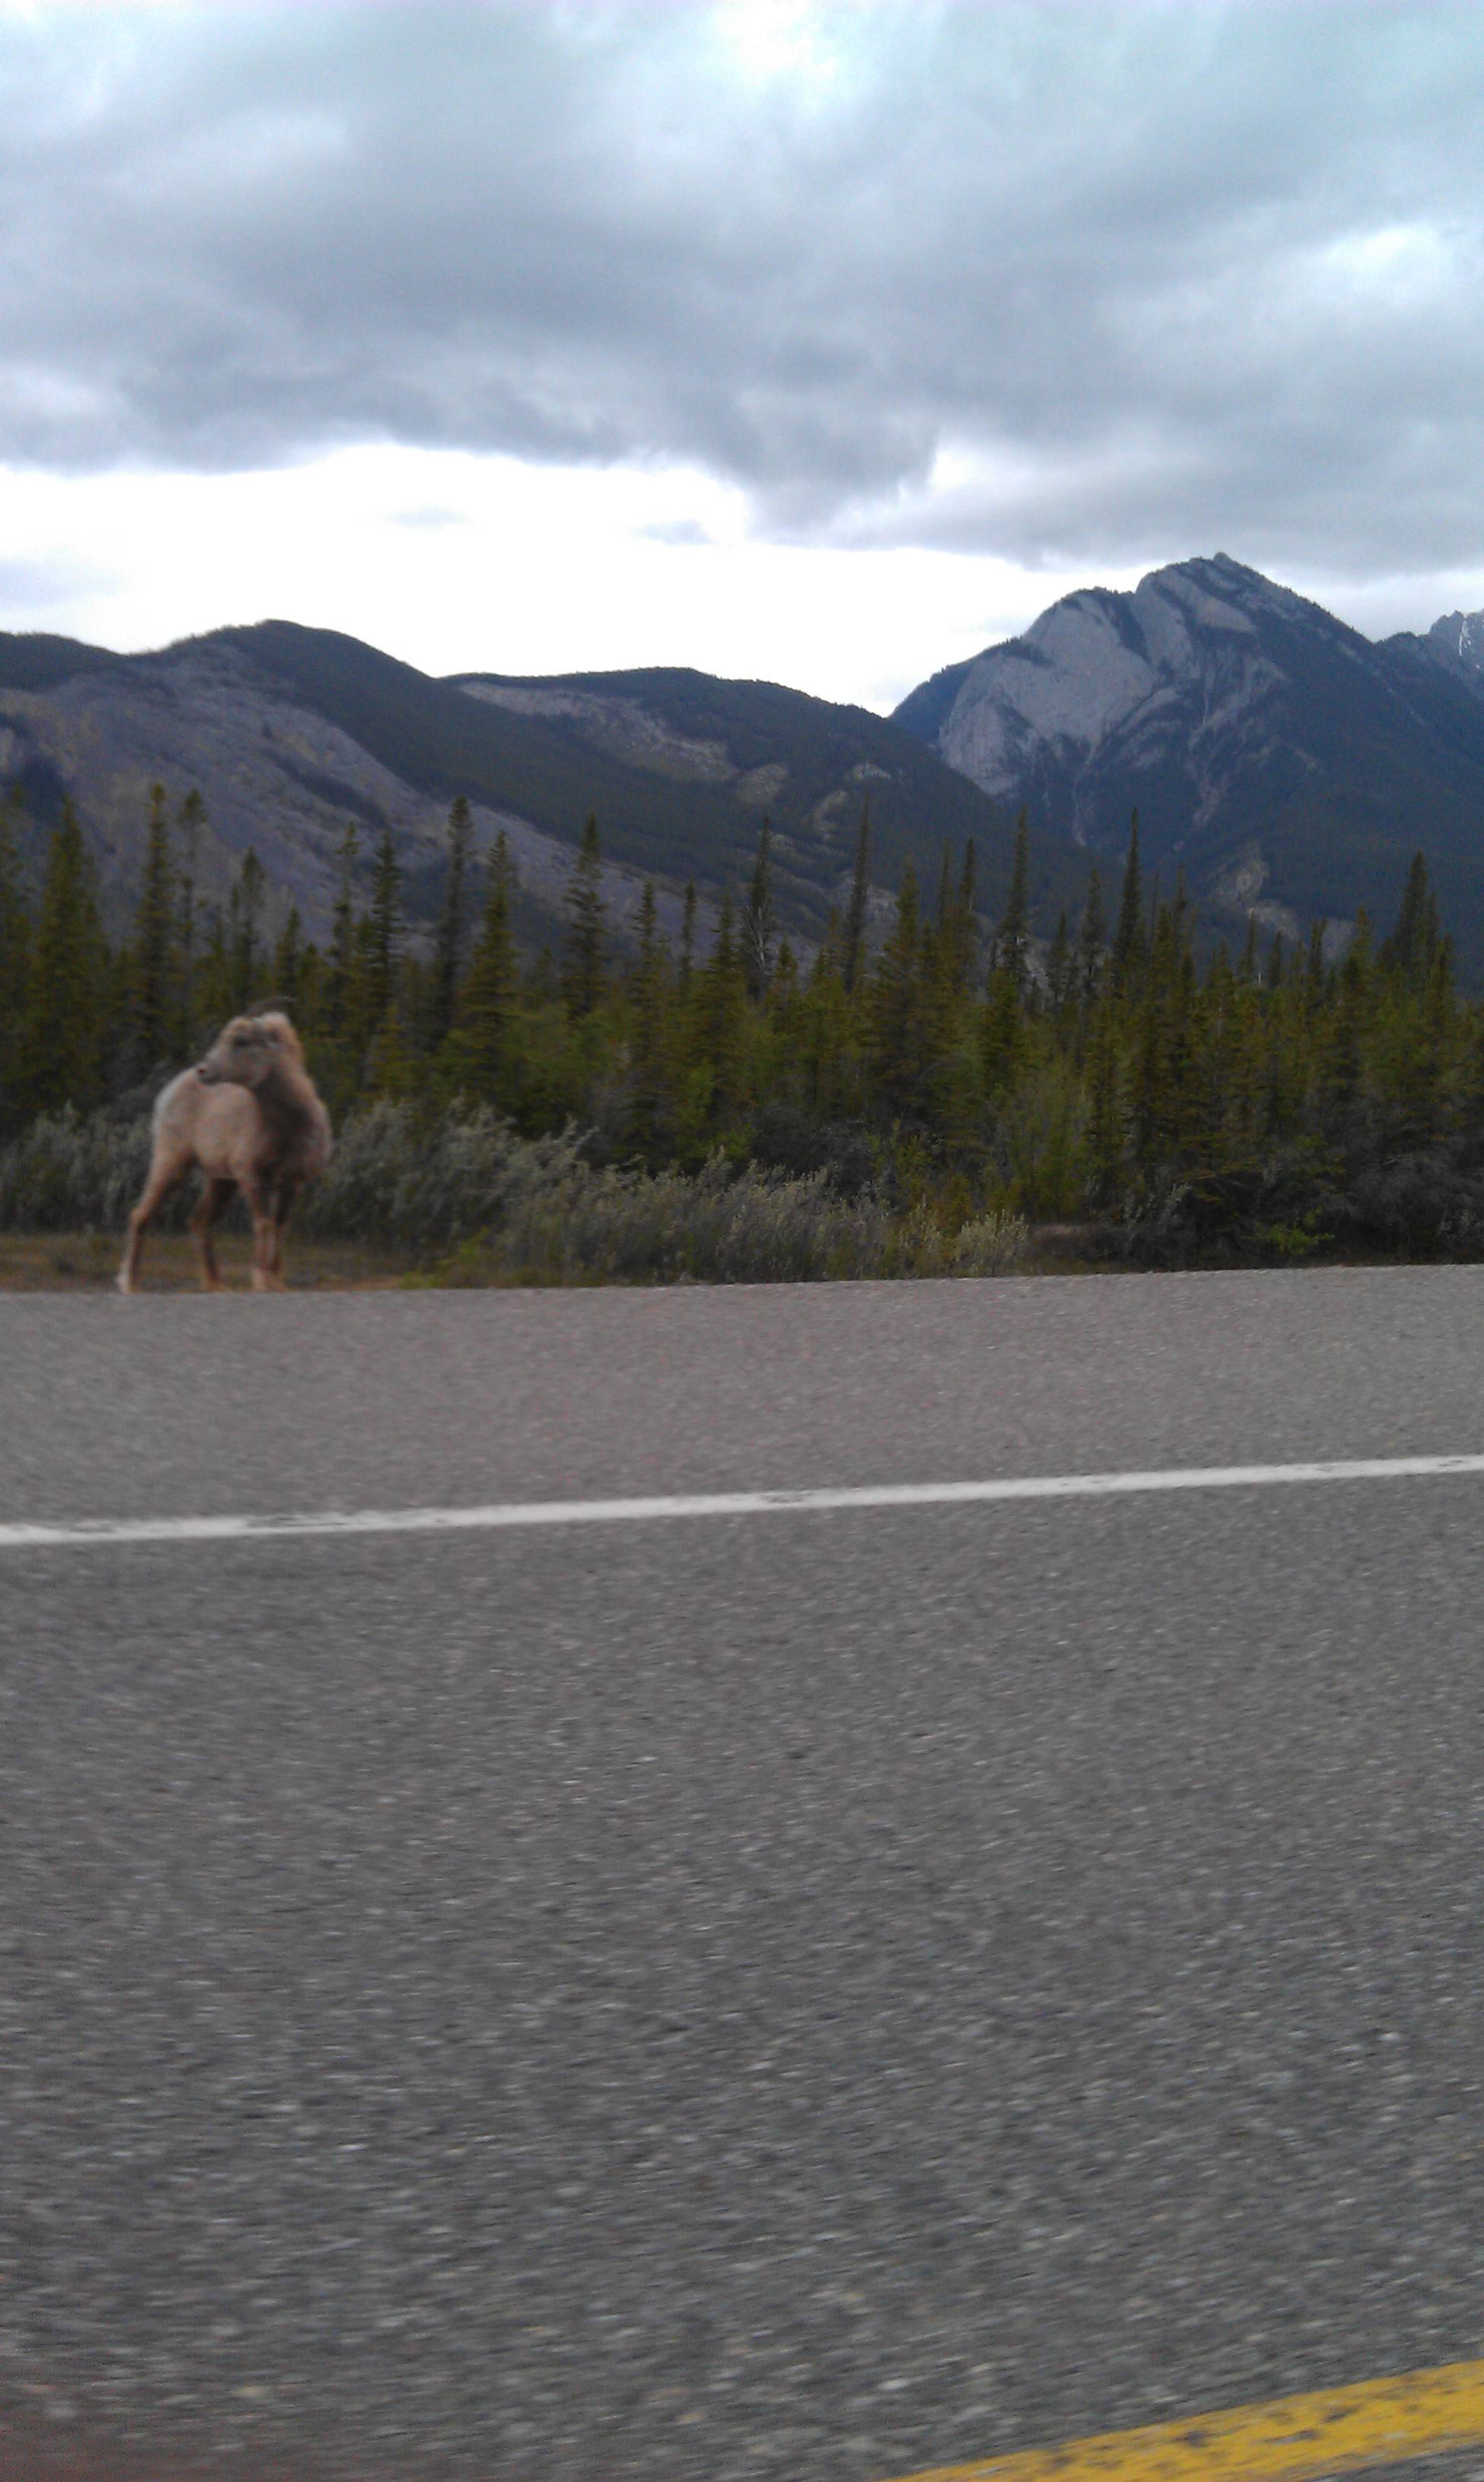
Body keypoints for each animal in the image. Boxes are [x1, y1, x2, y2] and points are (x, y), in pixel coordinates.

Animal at [118, 1008, 332, 1294]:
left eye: (242, 1041)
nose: (204, 1070)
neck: (288, 1127)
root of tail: (168, 1093)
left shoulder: (292, 1182)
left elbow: (278, 1227)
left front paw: (277, 1283)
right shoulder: (252, 1177)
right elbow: (263, 1225)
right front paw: (262, 1282)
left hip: (220, 1181)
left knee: (199, 1221)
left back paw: (216, 1285)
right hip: (172, 1163)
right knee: (140, 1215)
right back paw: (130, 1283)